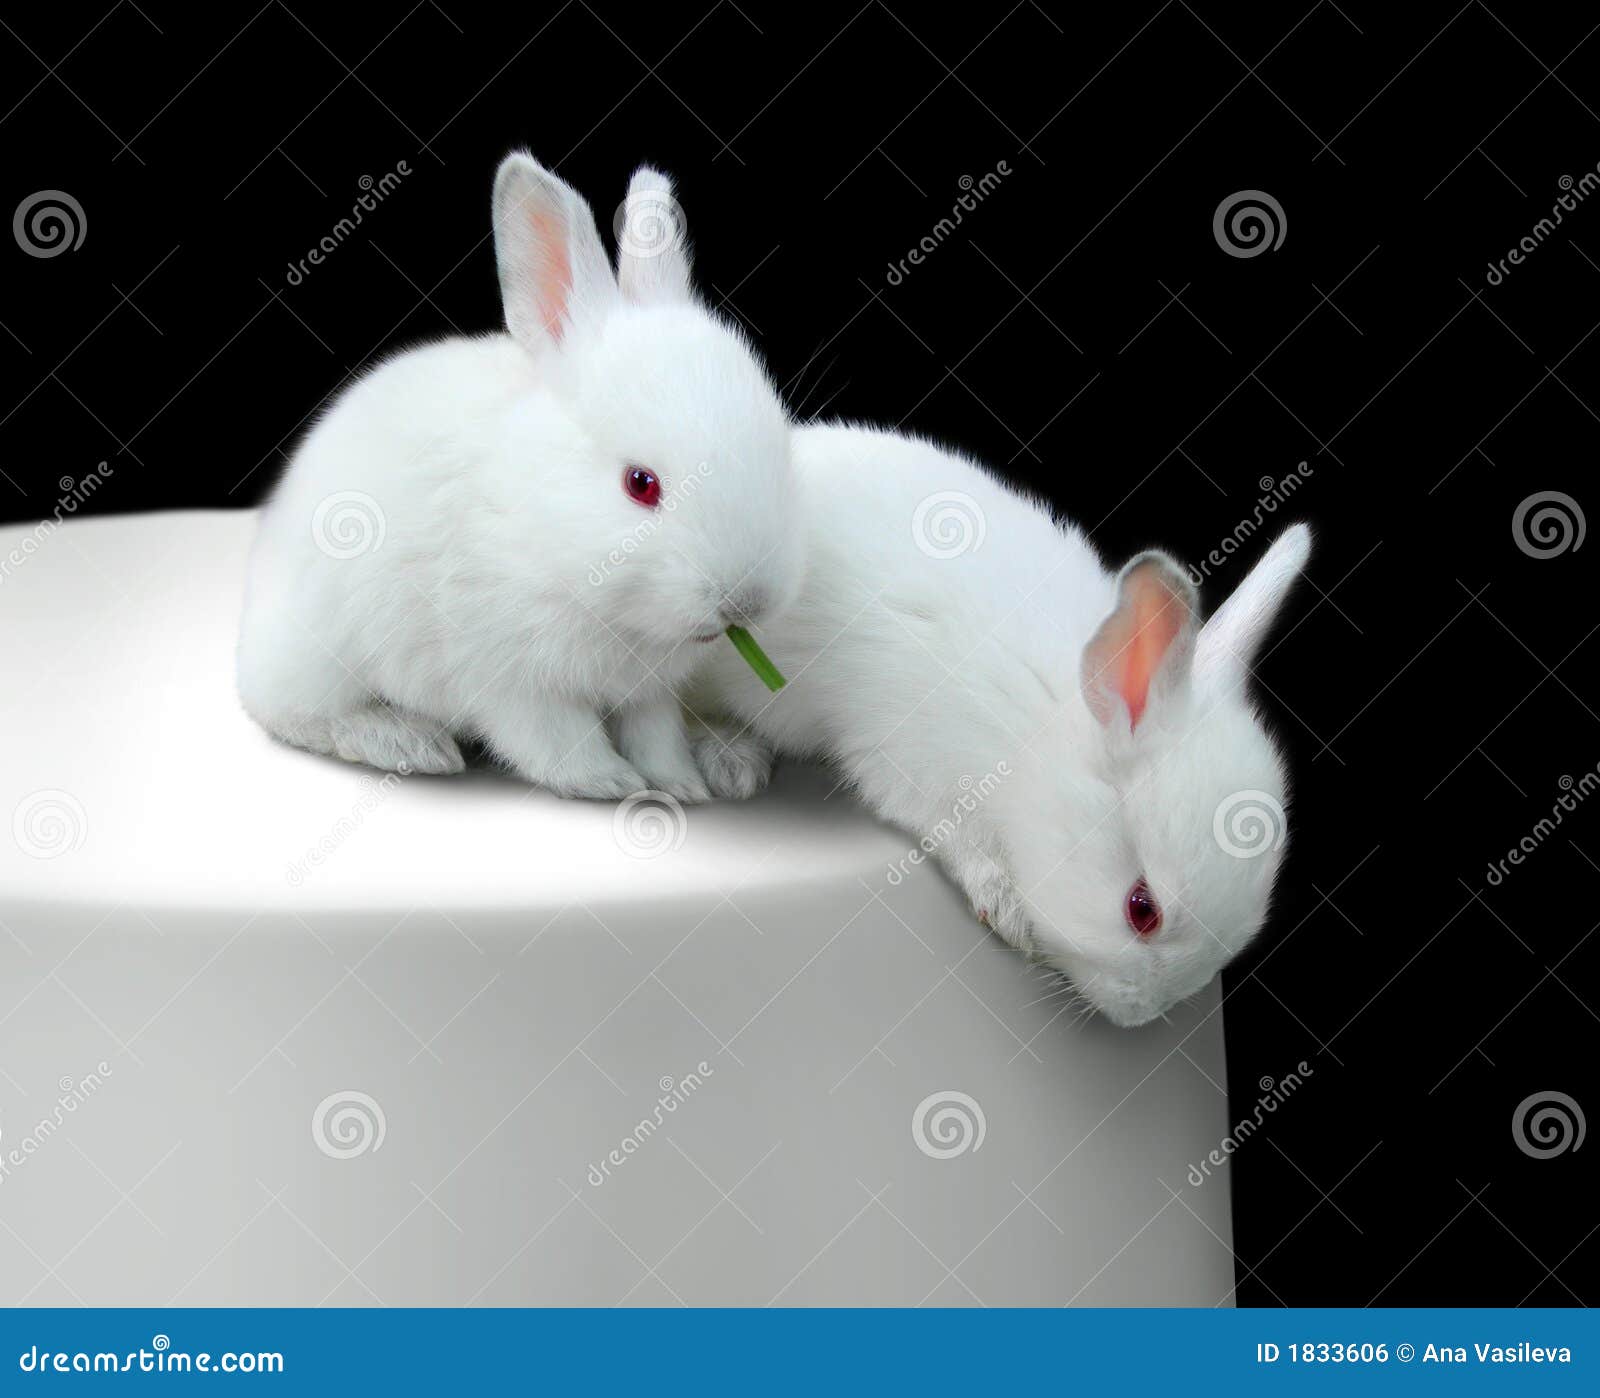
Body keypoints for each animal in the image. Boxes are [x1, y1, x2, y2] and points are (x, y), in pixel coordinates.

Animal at [238, 152, 802, 802]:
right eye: (641, 484)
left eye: (778, 454)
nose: (746, 602)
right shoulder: (510, 678)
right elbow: (557, 740)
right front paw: (611, 784)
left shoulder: (647, 691)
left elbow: (654, 735)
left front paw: (678, 787)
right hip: (320, 652)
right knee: (298, 714)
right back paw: (408, 742)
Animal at [689, 423, 1311, 1027]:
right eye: (1142, 910)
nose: (1138, 1017)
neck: (1041, 734)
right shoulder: (912, 764)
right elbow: (954, 834)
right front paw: (1009, 909)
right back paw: (730, 758)